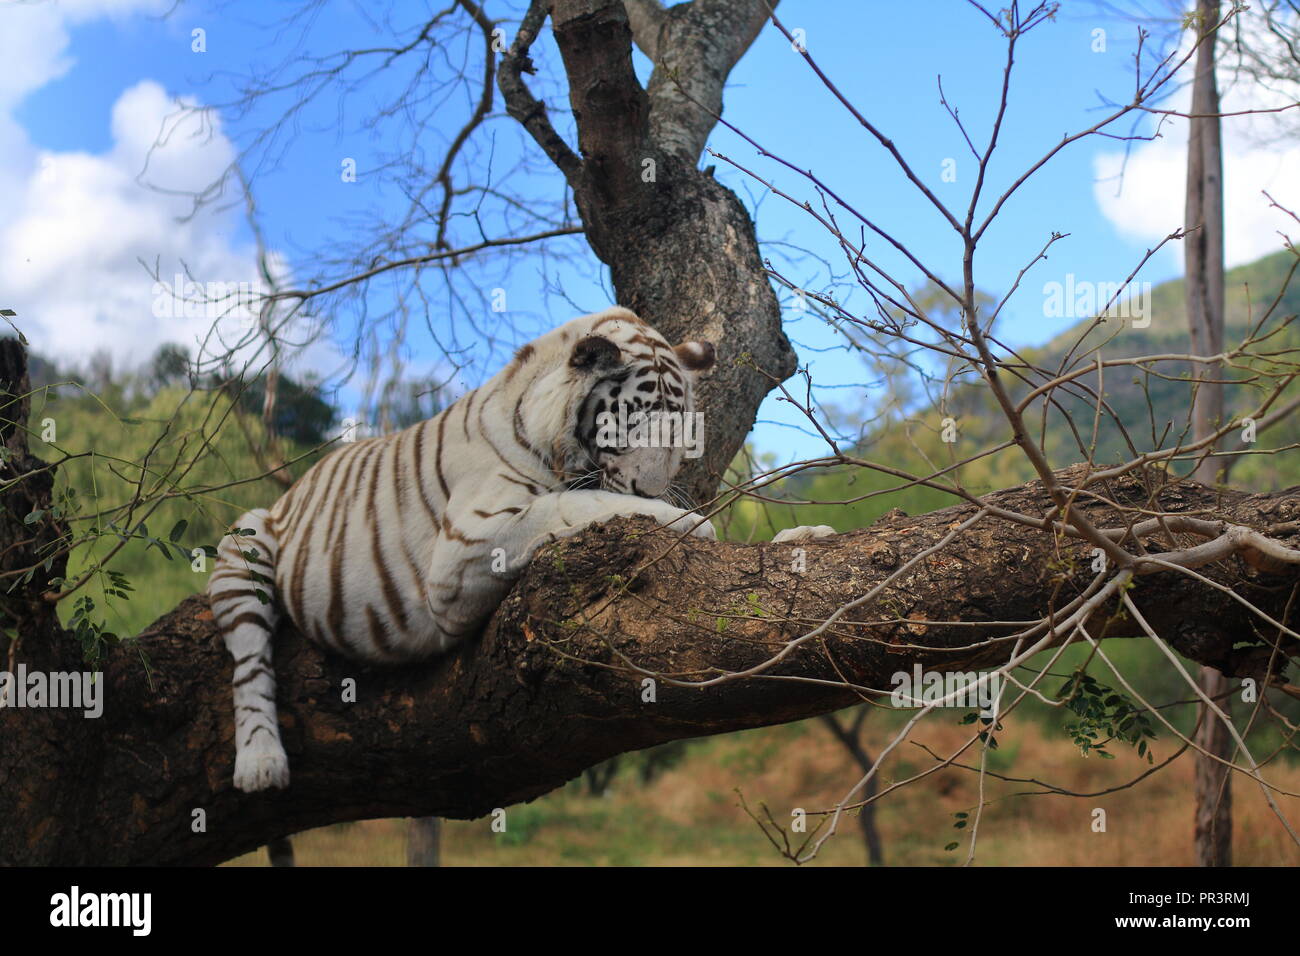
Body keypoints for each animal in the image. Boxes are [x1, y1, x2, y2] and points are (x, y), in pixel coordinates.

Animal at [207, 306, 727, 792]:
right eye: (630, 422)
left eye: (677, 434)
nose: (649, 488)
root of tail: (293, 491)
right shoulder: (465, 548)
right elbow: (572, 504)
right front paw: (692, 523)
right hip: (243, 544)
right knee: (249, 665)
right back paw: (260, 765)